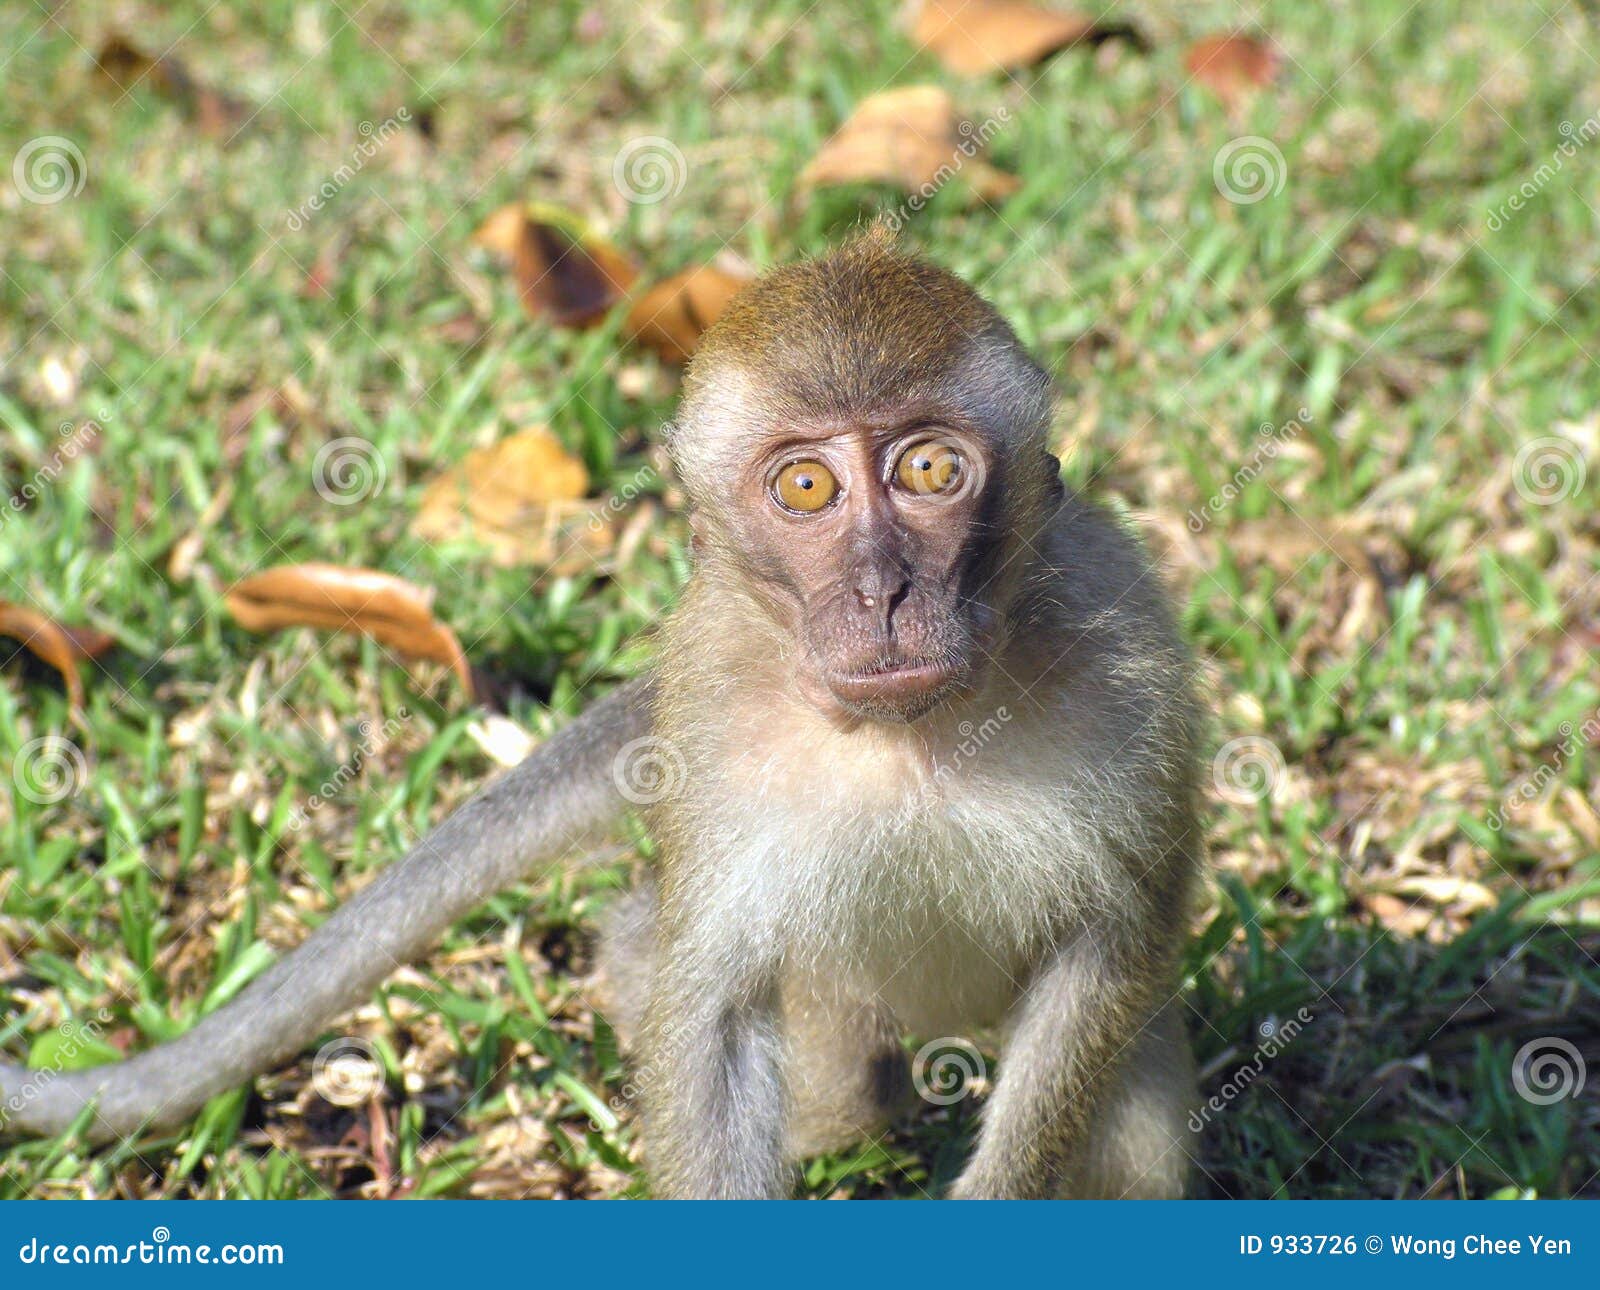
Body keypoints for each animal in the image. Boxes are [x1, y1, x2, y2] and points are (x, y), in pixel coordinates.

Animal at [1, 232, 1201, 1199]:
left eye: (932, 469)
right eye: (806, 488)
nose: (882, 590)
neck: (909, 738)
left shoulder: (1125, 665)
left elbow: (1108, 950)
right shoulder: (711, 709)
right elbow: (712, 1016)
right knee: (795, 1053)